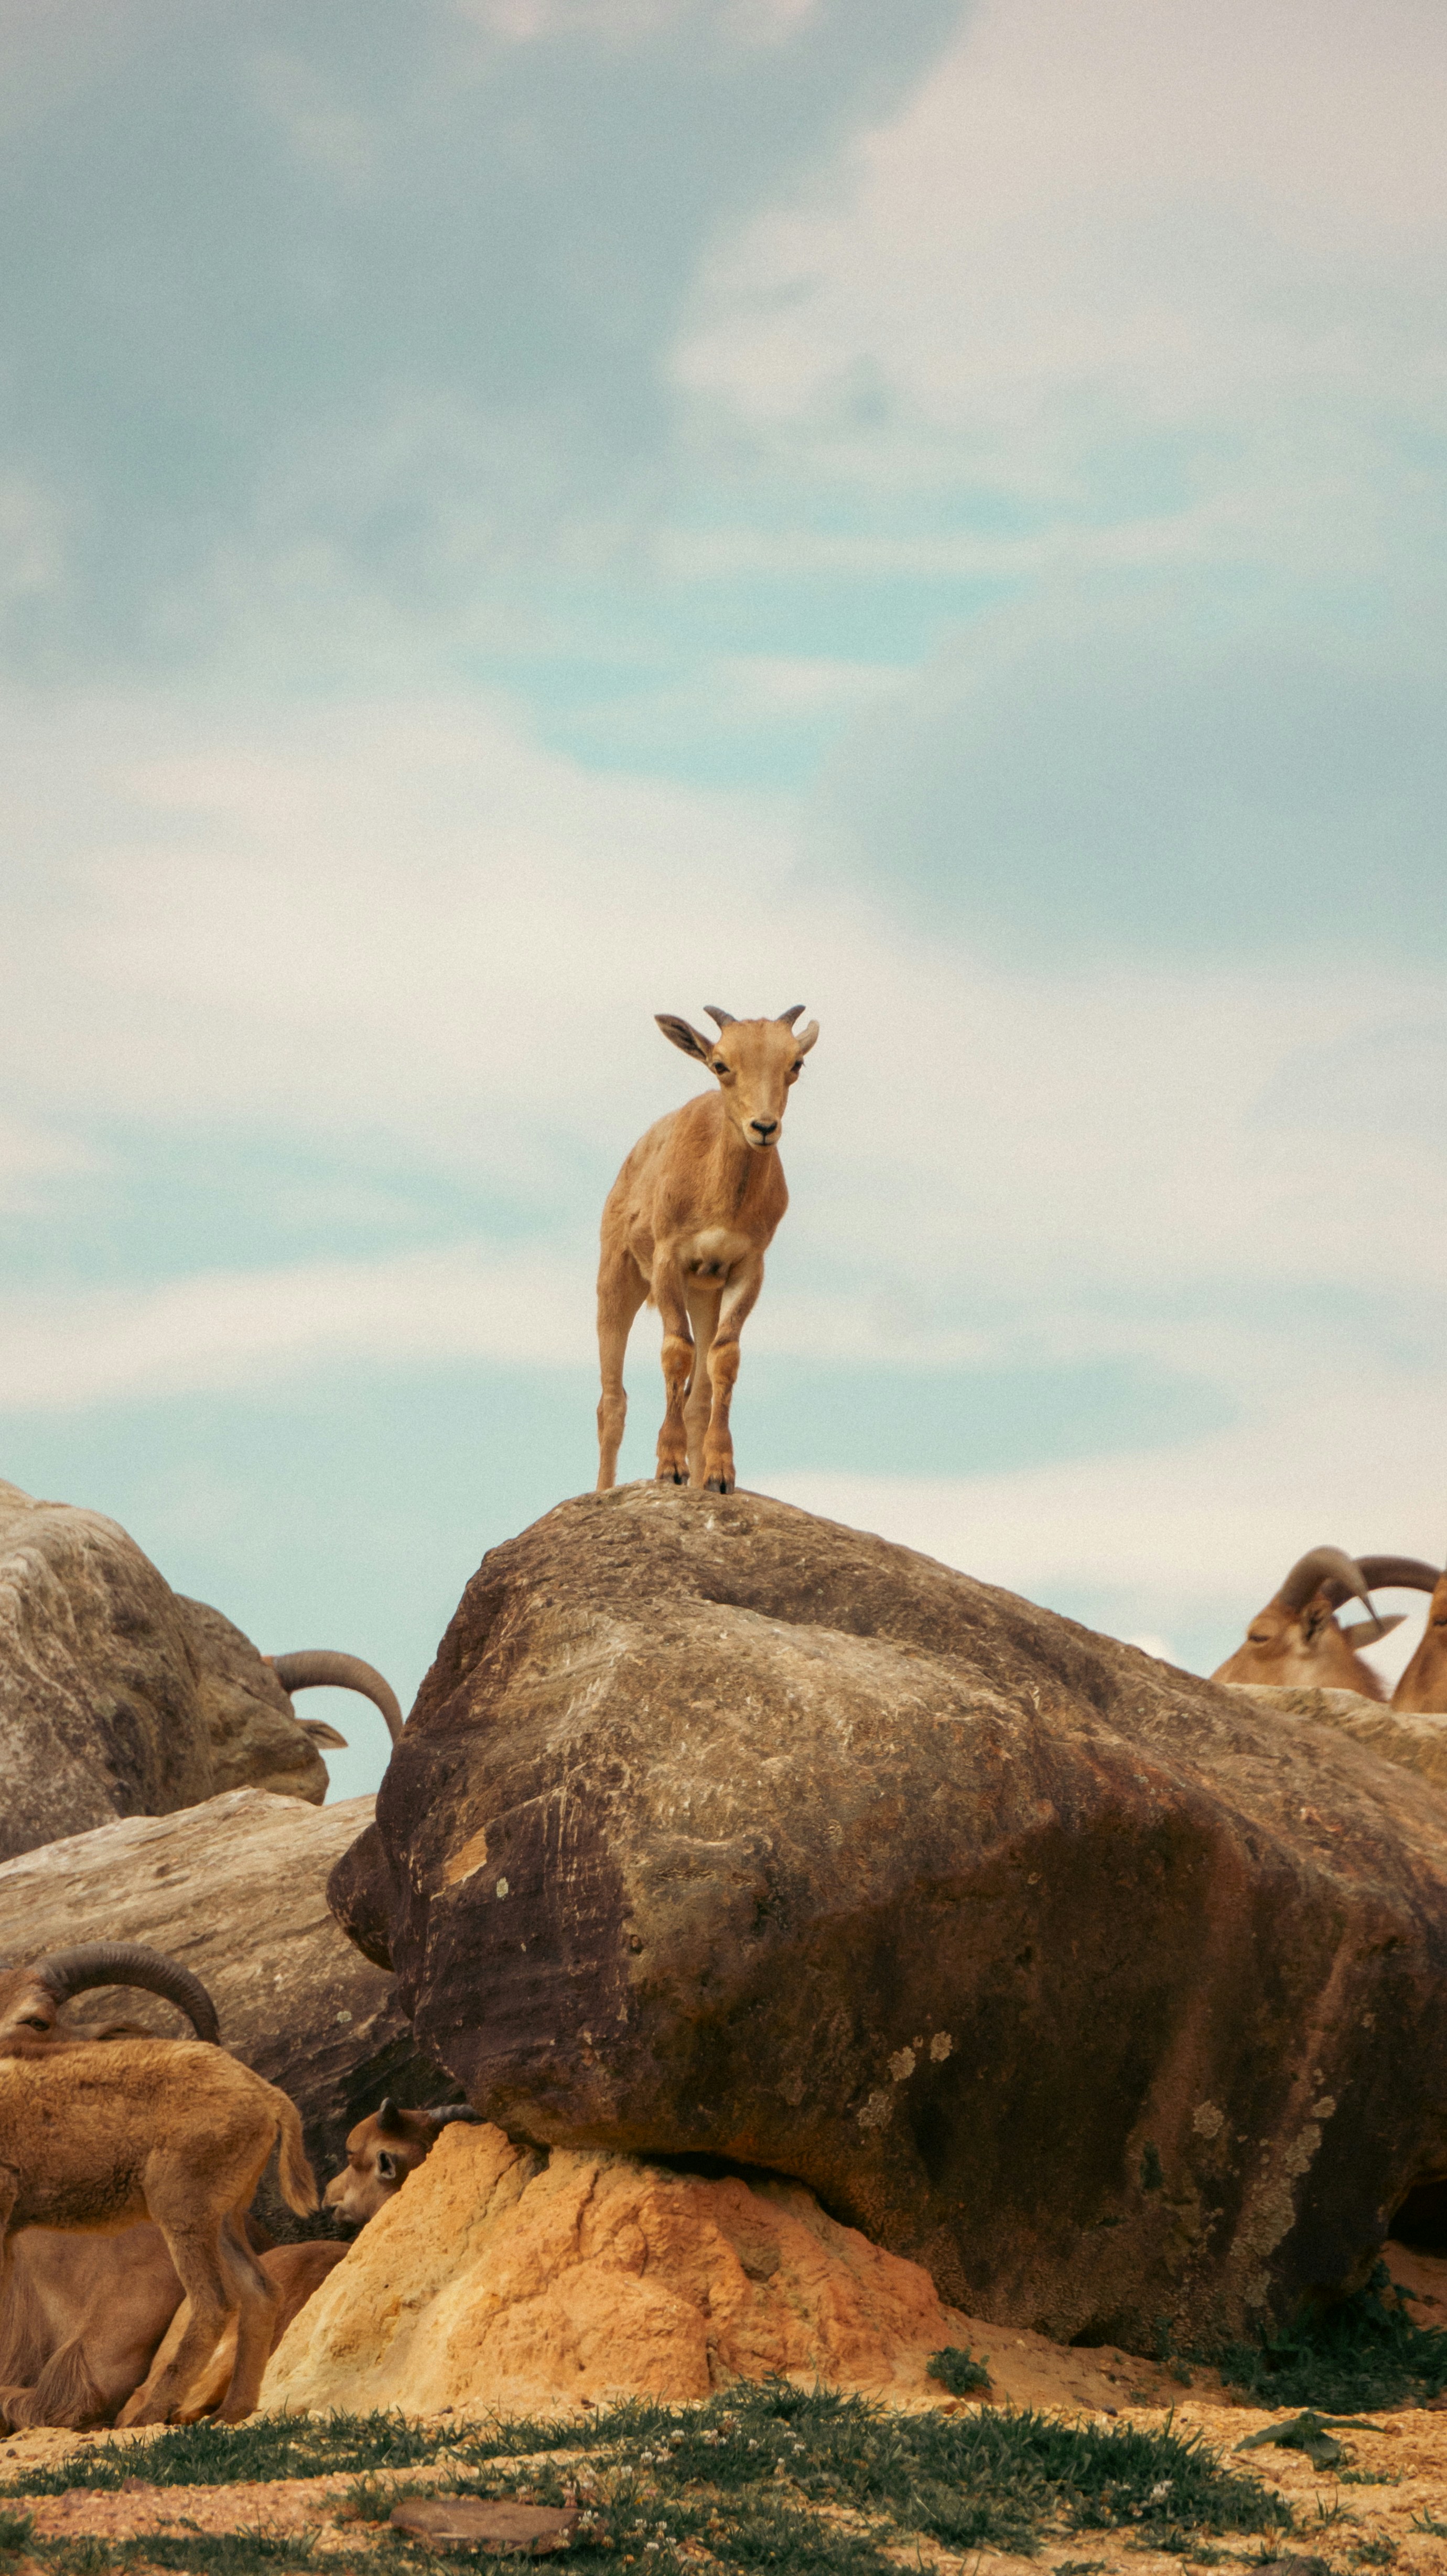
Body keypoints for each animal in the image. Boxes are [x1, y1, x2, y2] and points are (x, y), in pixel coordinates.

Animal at [596, 1004, 819, 1494]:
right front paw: (670, 1468)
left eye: (795, 1063)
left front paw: (718, 1475)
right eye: (720, 1064)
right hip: (618, 1276)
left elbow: (724, 1357)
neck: (718, 1194)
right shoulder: (668, 1258)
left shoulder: (745, 1266)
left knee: (697, 1398)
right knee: (612, 1401)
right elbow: (676, 1350)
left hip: (703, 1292)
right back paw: (602, 1491)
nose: (764, 1127)